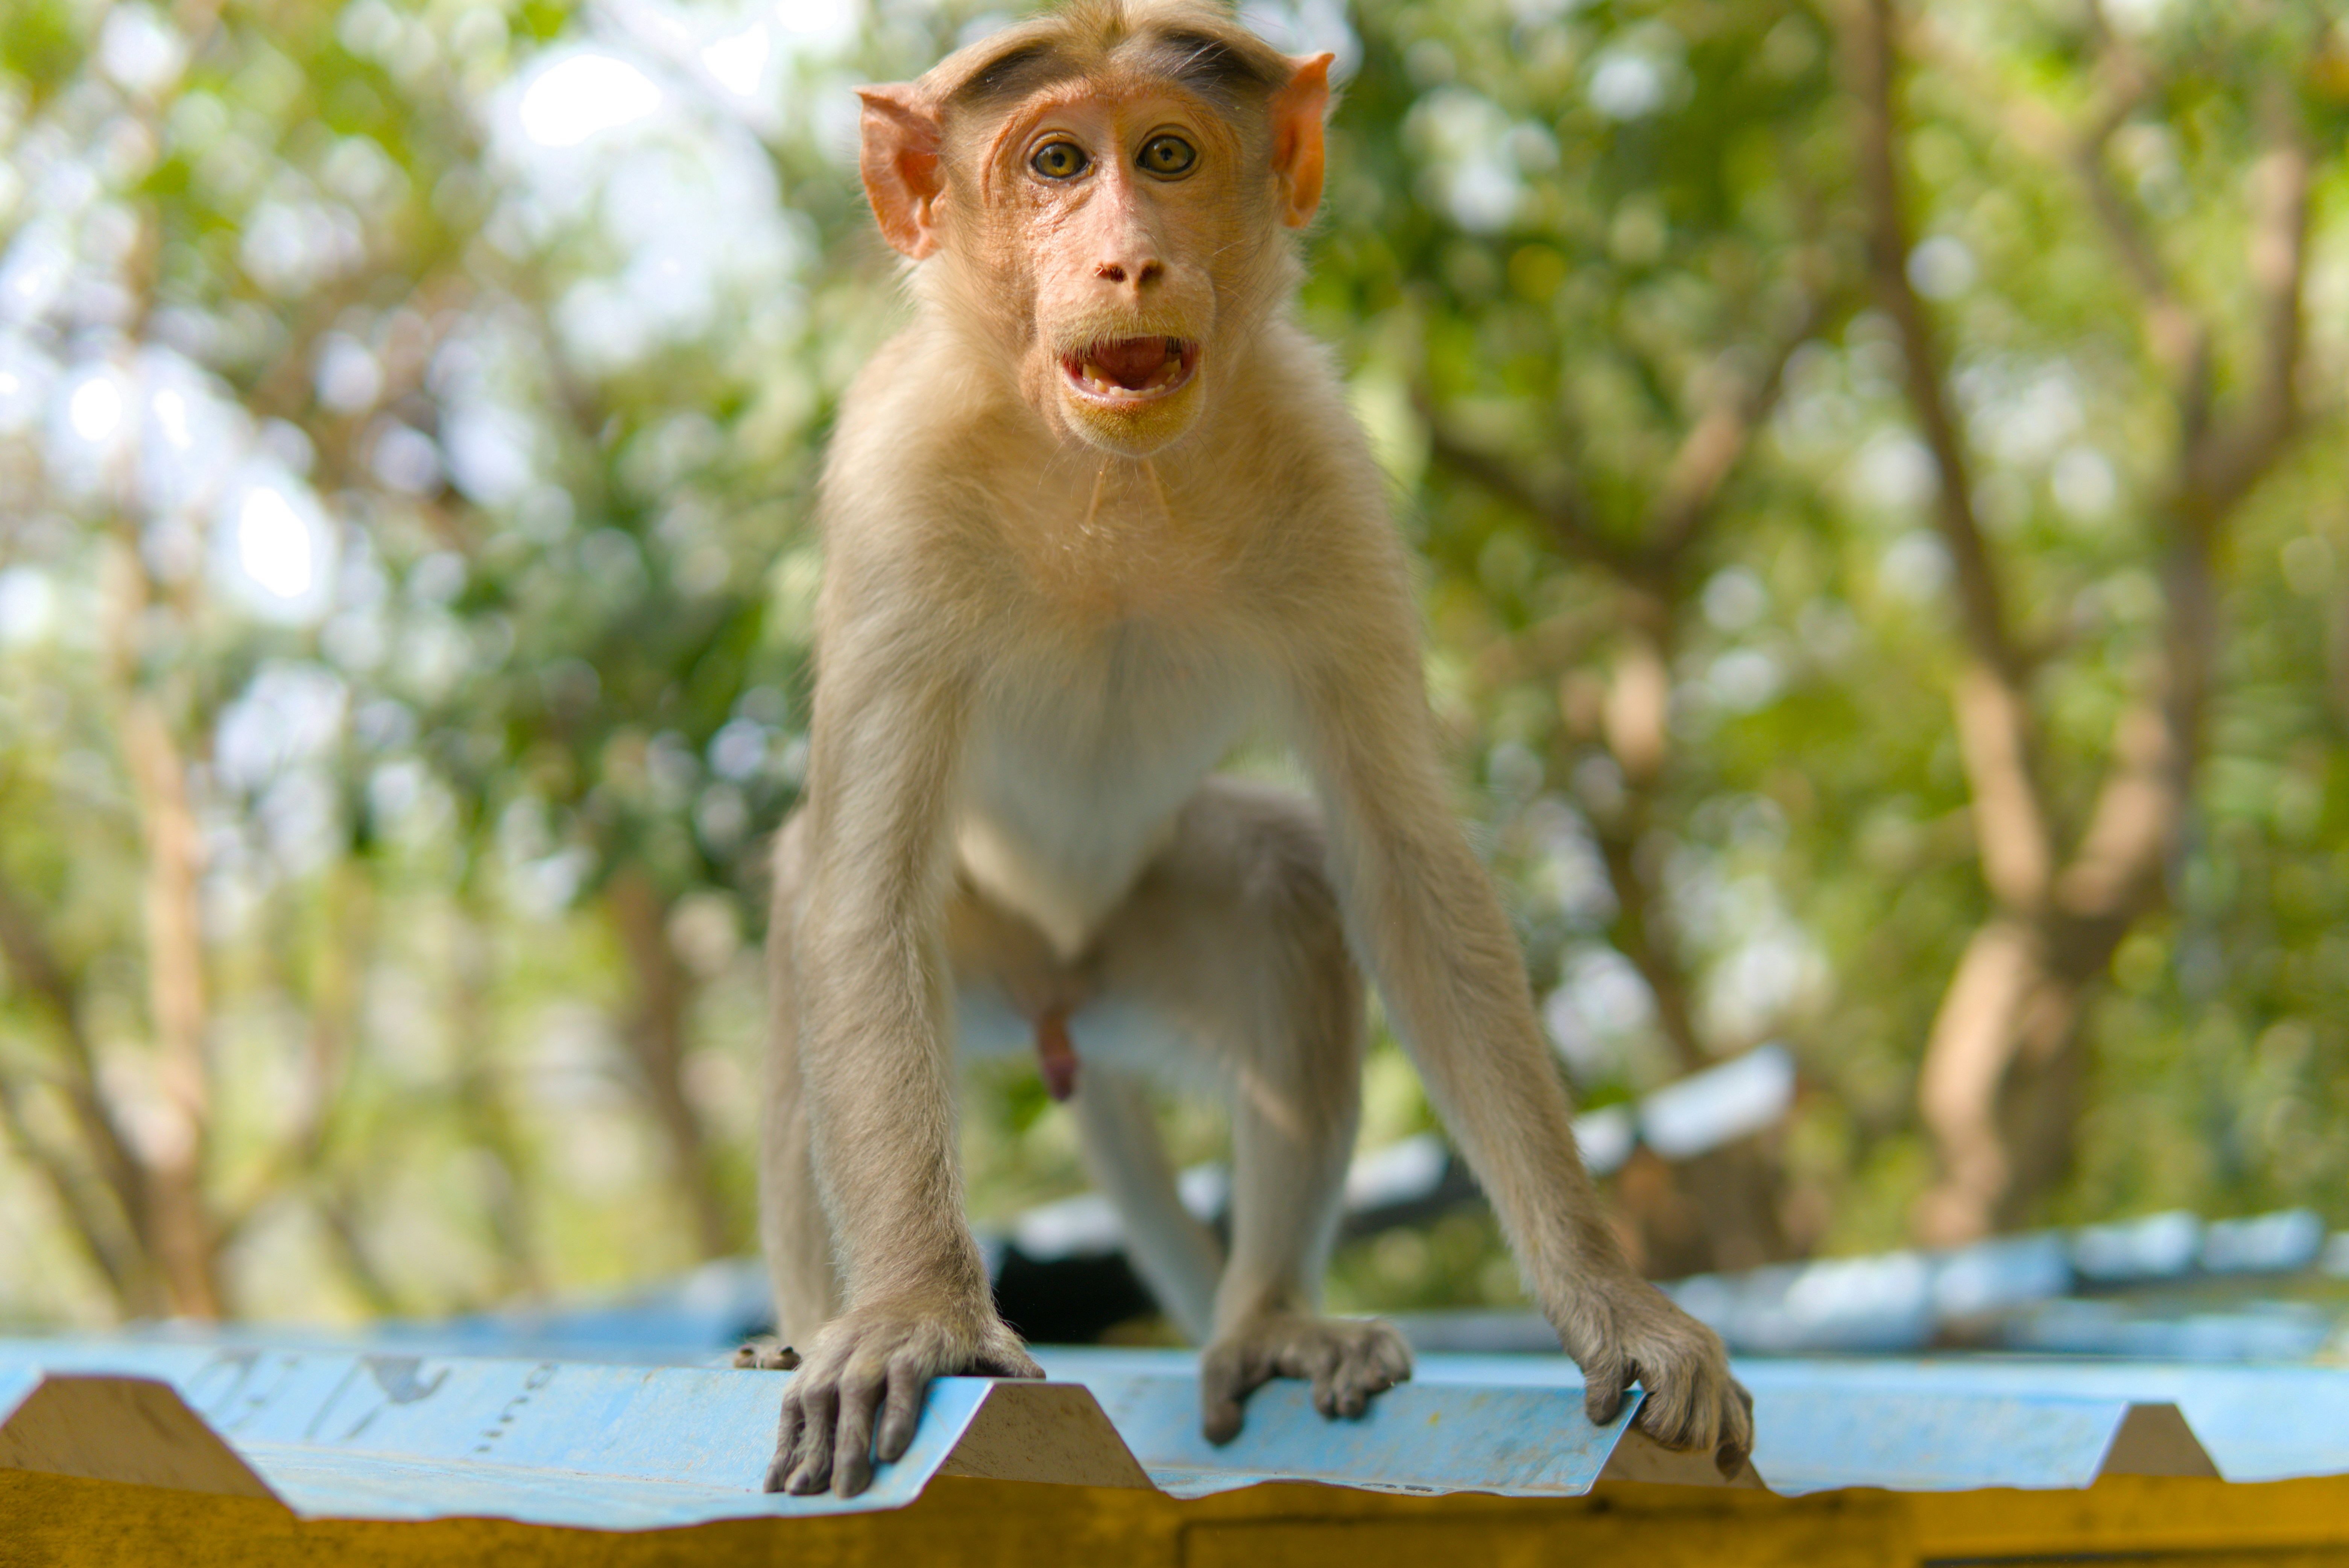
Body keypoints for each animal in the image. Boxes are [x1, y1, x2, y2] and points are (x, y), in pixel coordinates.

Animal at [756, 0, 1753, 1498]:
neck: (1104, 472)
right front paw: (917, 1315)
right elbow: (862, 888)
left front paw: (1608, 1299)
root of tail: (1059, 995)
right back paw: (808, 1324)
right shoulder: (894, 479)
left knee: (1285, 883)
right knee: (807, 897)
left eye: (1166, 155)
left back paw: (1270, 1320)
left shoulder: (1327, 464)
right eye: (1055, 161)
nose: (1129, 255)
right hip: (986, 951)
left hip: (1142, 947)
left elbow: (1403, 864)